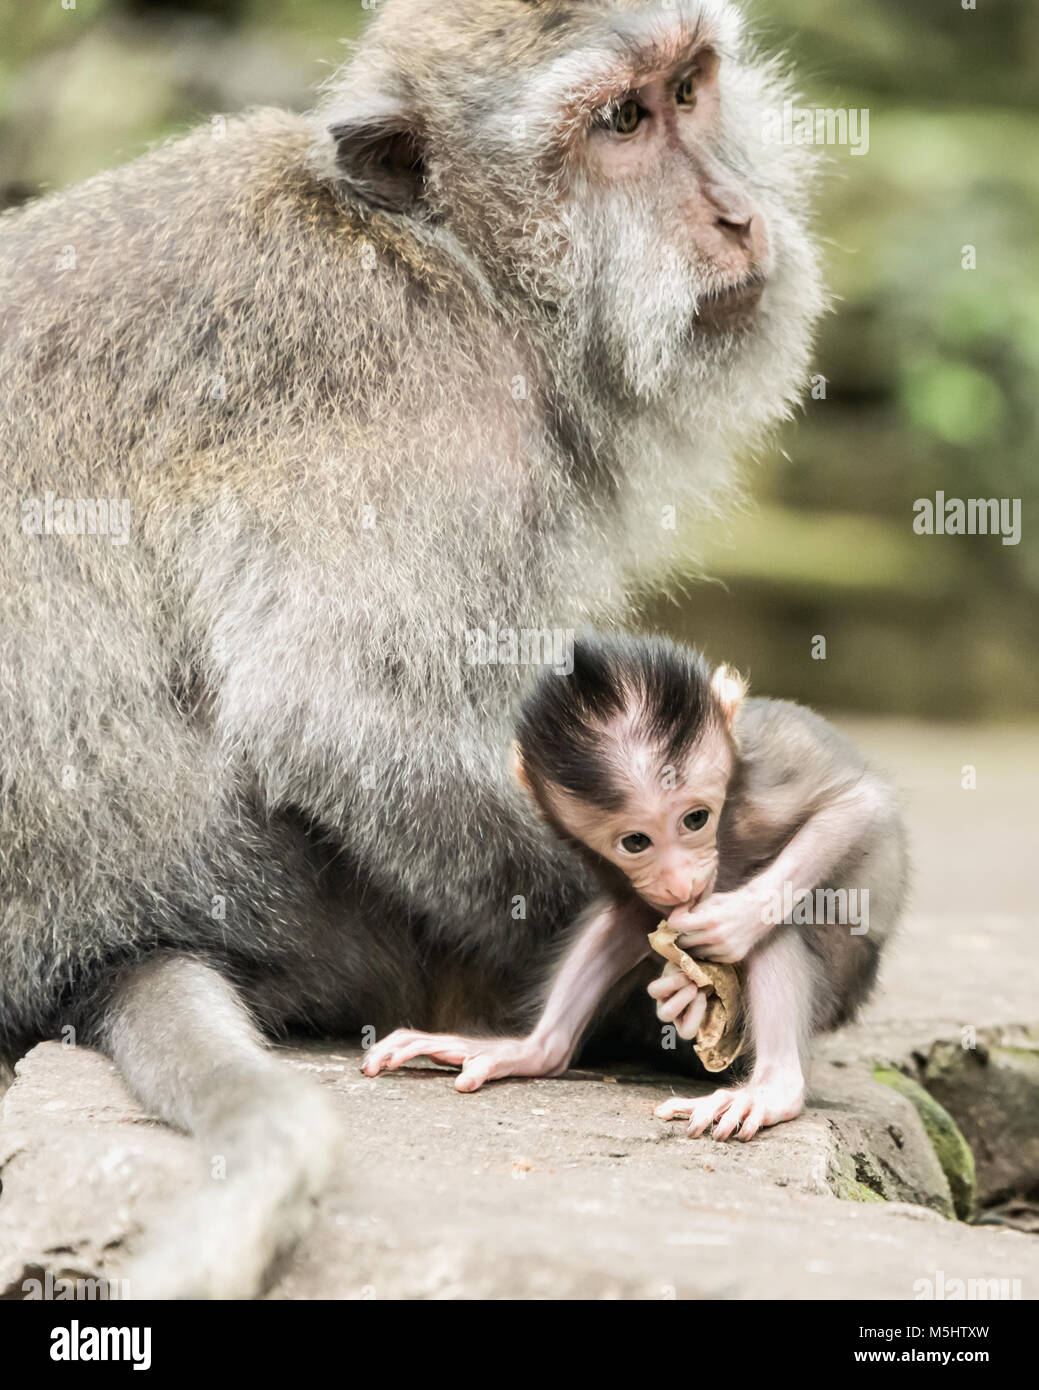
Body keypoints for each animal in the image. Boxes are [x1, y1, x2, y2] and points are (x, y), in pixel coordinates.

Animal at [0, 1, 825, 1294]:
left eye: (689, 90)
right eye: (619, 121)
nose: (737, 215)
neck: (447, 257)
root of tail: (87, 949)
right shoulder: (427, 402)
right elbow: (336, 710)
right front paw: (693, 956)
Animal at [364, 634, 908, 1140]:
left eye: (695, 819)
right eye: (635, 842)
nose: (680, 880)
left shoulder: (774, 773)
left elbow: (859, 806)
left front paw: (732, 920)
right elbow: (627, 915)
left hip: (843, 982)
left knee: (780, 931)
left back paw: (772, 1088)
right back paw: (539, 1050)